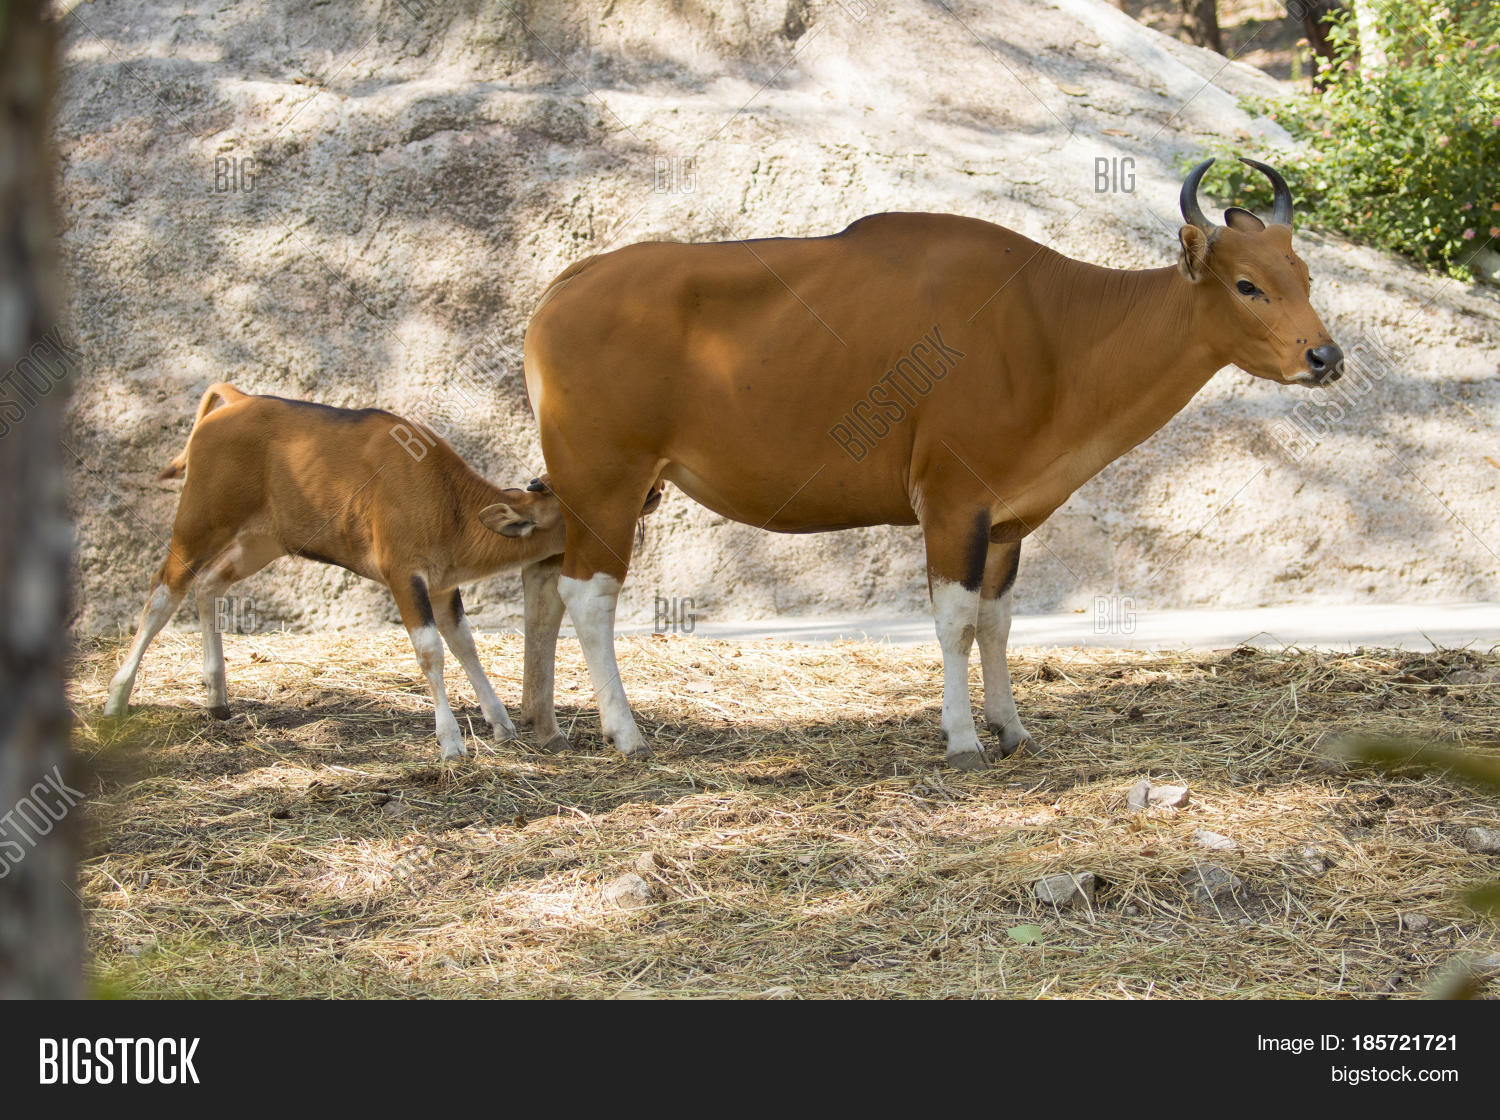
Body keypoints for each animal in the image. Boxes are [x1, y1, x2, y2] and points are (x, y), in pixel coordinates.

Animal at [104, 383, 662, 759]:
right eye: (574, 501)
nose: (650, 491)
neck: (449, 502)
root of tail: (236, 401)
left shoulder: (443, 585)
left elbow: (465, 643)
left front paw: (501, 723)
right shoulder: (403, 575)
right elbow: (431, 650)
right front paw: (451, 742)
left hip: (261, 540)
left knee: (208, 585)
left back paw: (217, 698)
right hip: (199, 521)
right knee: (163, 593)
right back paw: (116, 698)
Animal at [513, 157, 1342, 769]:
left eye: (1304, 280)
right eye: (1248, 285)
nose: (1326, 357)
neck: (1057, 331)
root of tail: (567, 284)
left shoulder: (1007, 519)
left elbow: (999, 622)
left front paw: (1013, 728)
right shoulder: (951, 502)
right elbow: (954, 623)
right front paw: (964, 738)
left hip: (597, 488)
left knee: (545, 583)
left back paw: (544, 727)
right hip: (608, 479)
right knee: (587, 594)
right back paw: (625, 733)